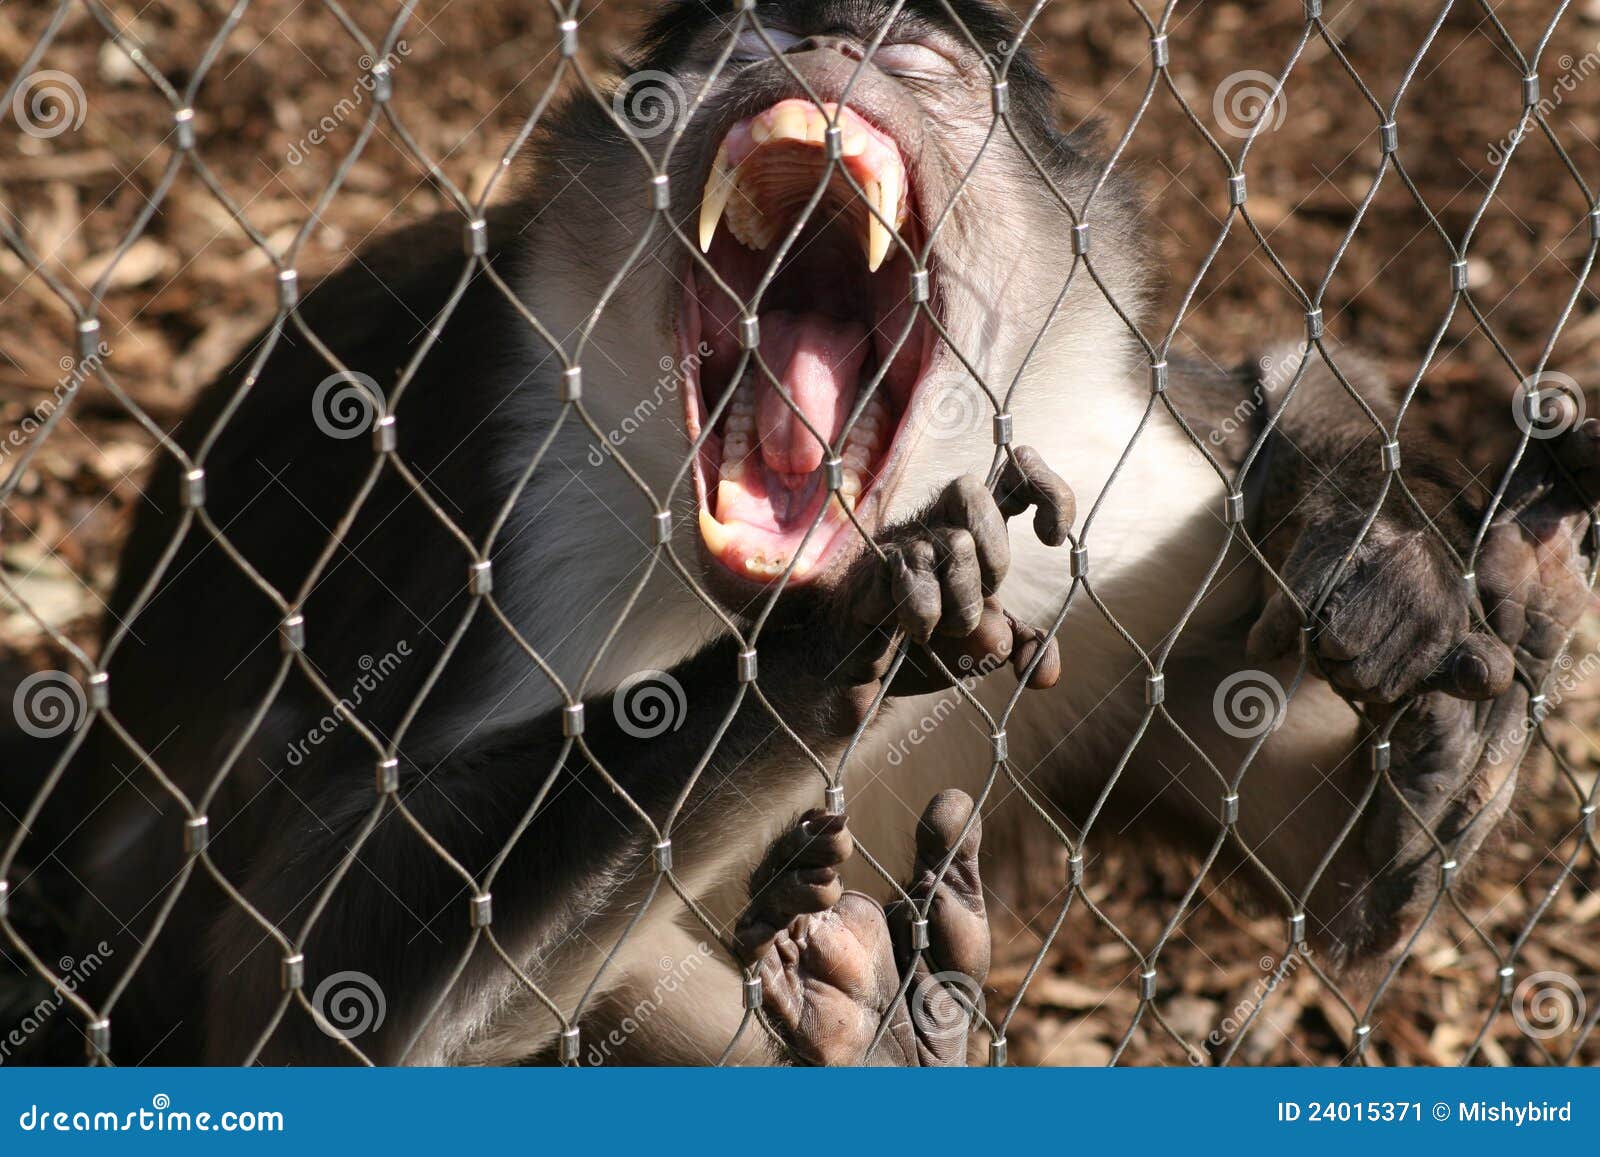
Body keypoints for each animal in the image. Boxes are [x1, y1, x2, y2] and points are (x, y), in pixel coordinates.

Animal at [3, 0, 1596, 1066]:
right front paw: (826, 645)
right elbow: (285, 970)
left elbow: (1339, 895)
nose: (819, 54)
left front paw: (1395, 595)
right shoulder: (508, 491)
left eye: (918, 61)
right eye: (740, 41)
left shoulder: (1107, 487)